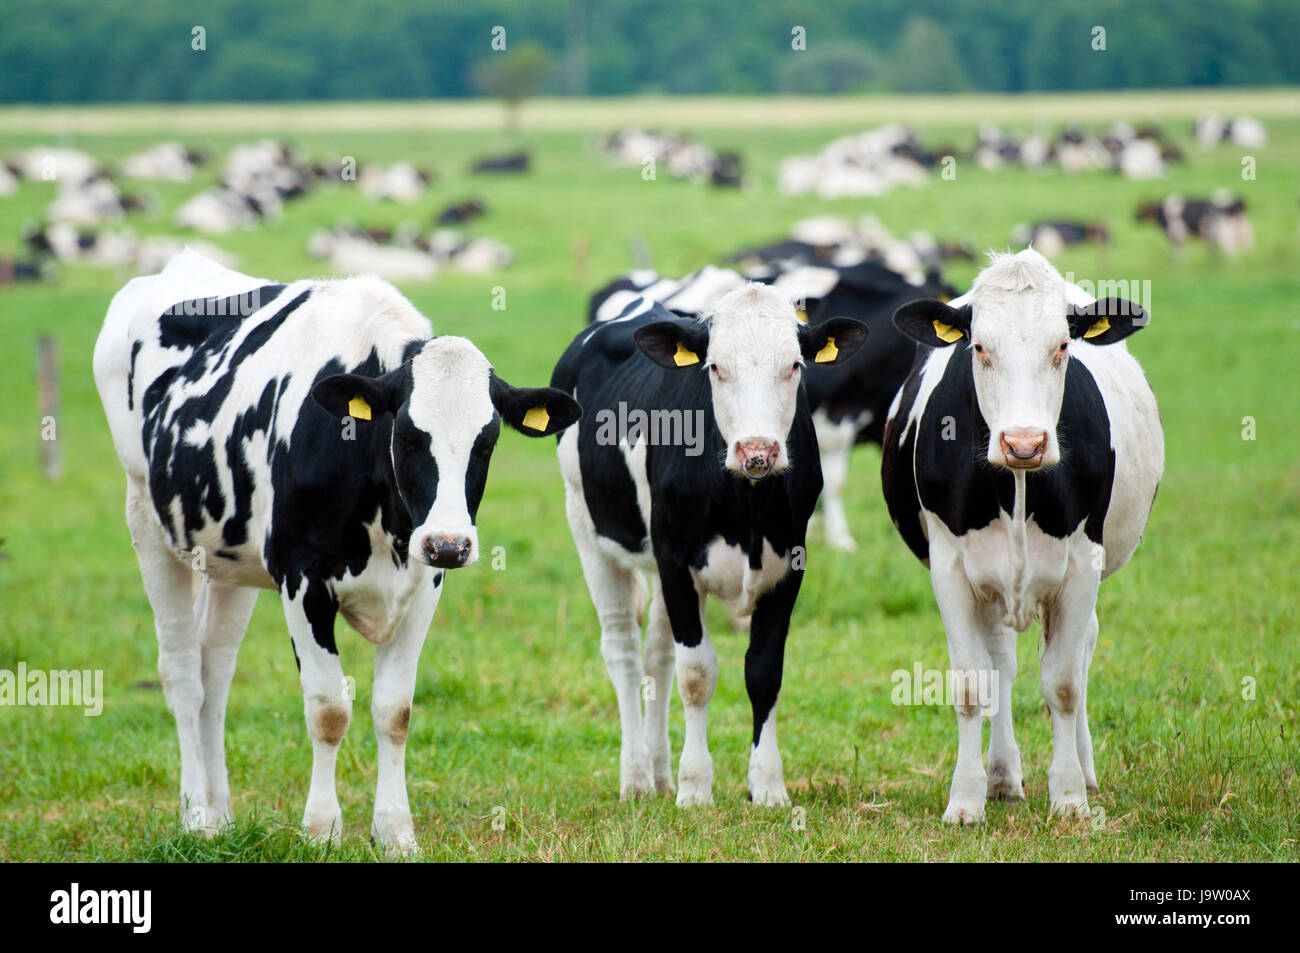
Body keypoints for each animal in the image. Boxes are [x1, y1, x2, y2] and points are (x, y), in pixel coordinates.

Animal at [93, 250, 580, 853]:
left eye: (486, 442)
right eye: (409, 437)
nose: (449, 543)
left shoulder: (424, 584)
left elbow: (395, 710)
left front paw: (396, 833)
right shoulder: (302, 580)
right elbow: (328, 709)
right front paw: (322, 830)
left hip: (229, 557)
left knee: (215, 672)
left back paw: (222, 813)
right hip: (147, 519)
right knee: (183, 674)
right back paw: (196, 817)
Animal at [552, 284, 867, 805]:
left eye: (794, 365)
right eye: (716, 367)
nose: (757, 451)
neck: (747, 509)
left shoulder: (788, 569)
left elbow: (763, 672)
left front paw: (767, 784)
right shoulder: (677, 562)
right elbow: (697, 674)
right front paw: (695, 786)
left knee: (657, 654)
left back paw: (659, 774)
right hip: (587, 528)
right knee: (623, 650)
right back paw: (636, 777)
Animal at [880, 248, 1162, 824]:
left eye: (1062, 347)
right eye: (980, 348)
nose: (1025, 443)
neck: (1016, 485)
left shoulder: (1082, 564)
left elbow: (1063, 683)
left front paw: (1071, 796)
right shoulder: (951, 568)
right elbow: (972, 683)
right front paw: (965, 800)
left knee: (1081, 652)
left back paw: (1084, 768)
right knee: (1002, 666)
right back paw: (1003, 776)